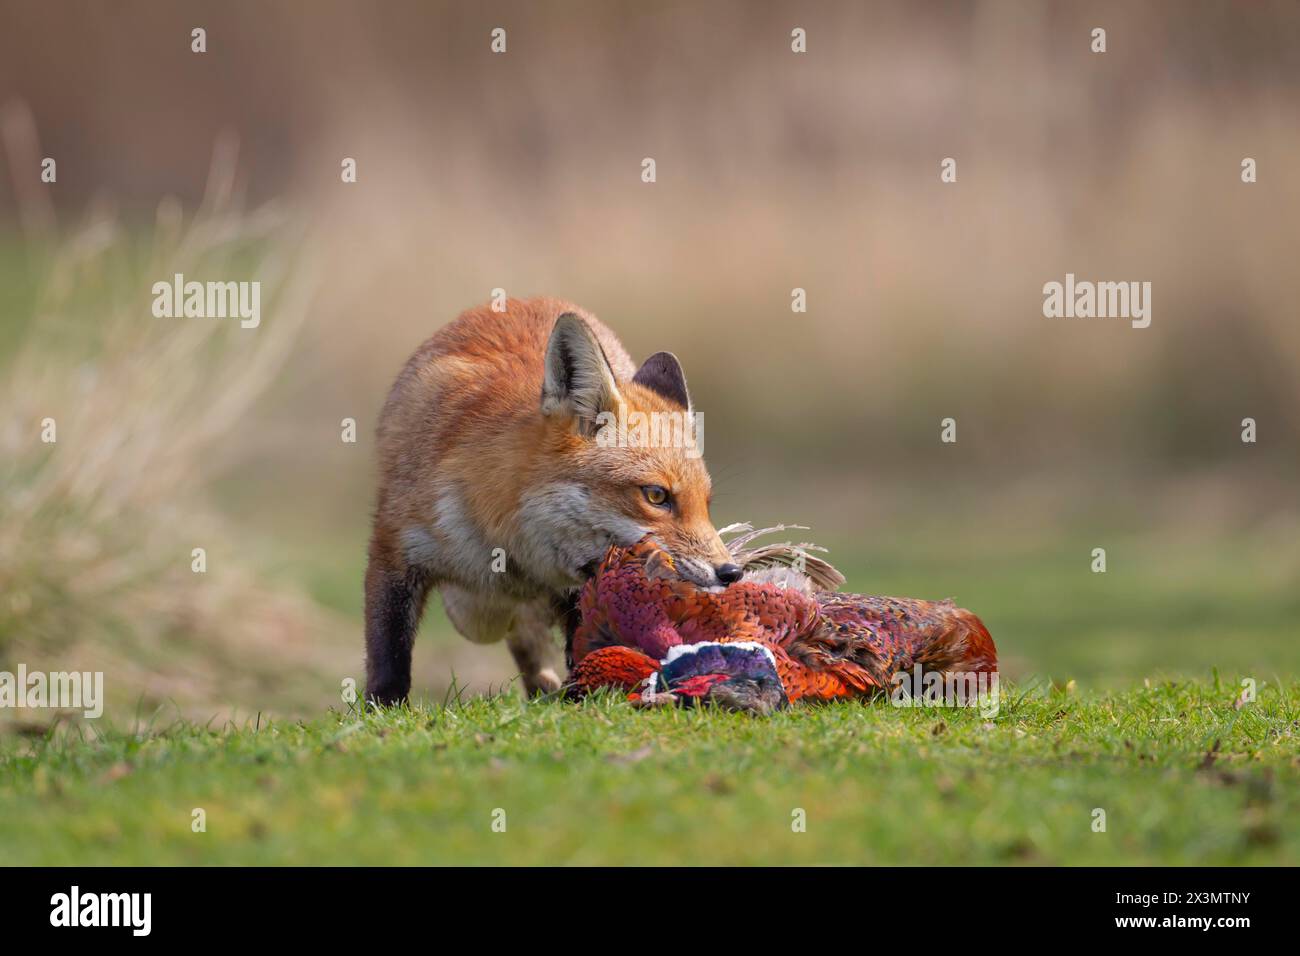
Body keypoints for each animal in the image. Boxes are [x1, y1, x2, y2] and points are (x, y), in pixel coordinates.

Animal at [364, 297, 741, 705]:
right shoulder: (395, 549)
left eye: (706, 502)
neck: (514, 552)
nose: (731, 573)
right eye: (656, 496)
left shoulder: (580, 589)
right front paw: (382, 707)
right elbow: (389, 652)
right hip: (471, 617)